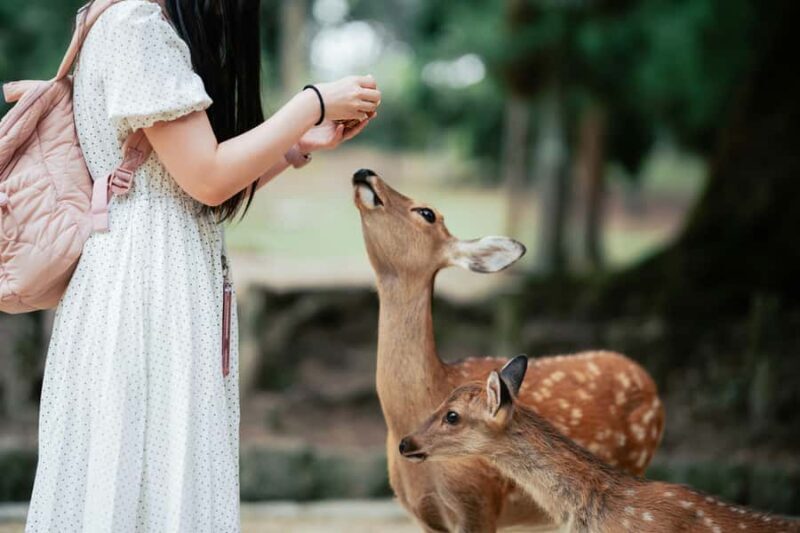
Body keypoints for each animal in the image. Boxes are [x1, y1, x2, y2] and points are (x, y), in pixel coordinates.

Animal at [352, 169, 666, 532]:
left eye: (427, 213)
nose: (365, 173)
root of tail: (648, 380)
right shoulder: (423, 513)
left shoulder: (480, 500)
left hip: (633, 464)